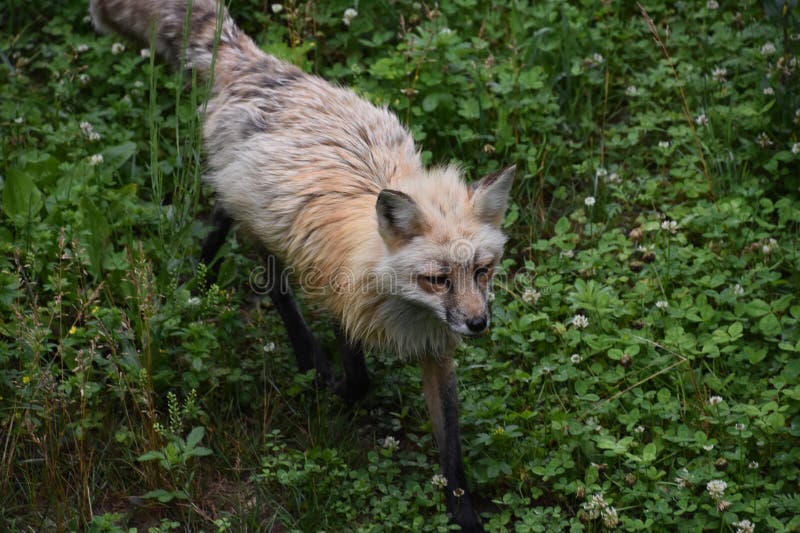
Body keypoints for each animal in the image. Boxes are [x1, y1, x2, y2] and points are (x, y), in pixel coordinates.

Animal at [90, 1, 515, 530]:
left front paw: (463, 515)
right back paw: (275, 332)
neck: (406, 309)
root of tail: (263, 69)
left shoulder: (437, 350)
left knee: (224, 215)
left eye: (482, 270)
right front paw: (333, 384)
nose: (478, 324)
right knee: (269, 283)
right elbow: (358, 380)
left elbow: (451, 448)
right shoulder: (344, 308)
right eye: (437, 279)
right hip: (267, 229)